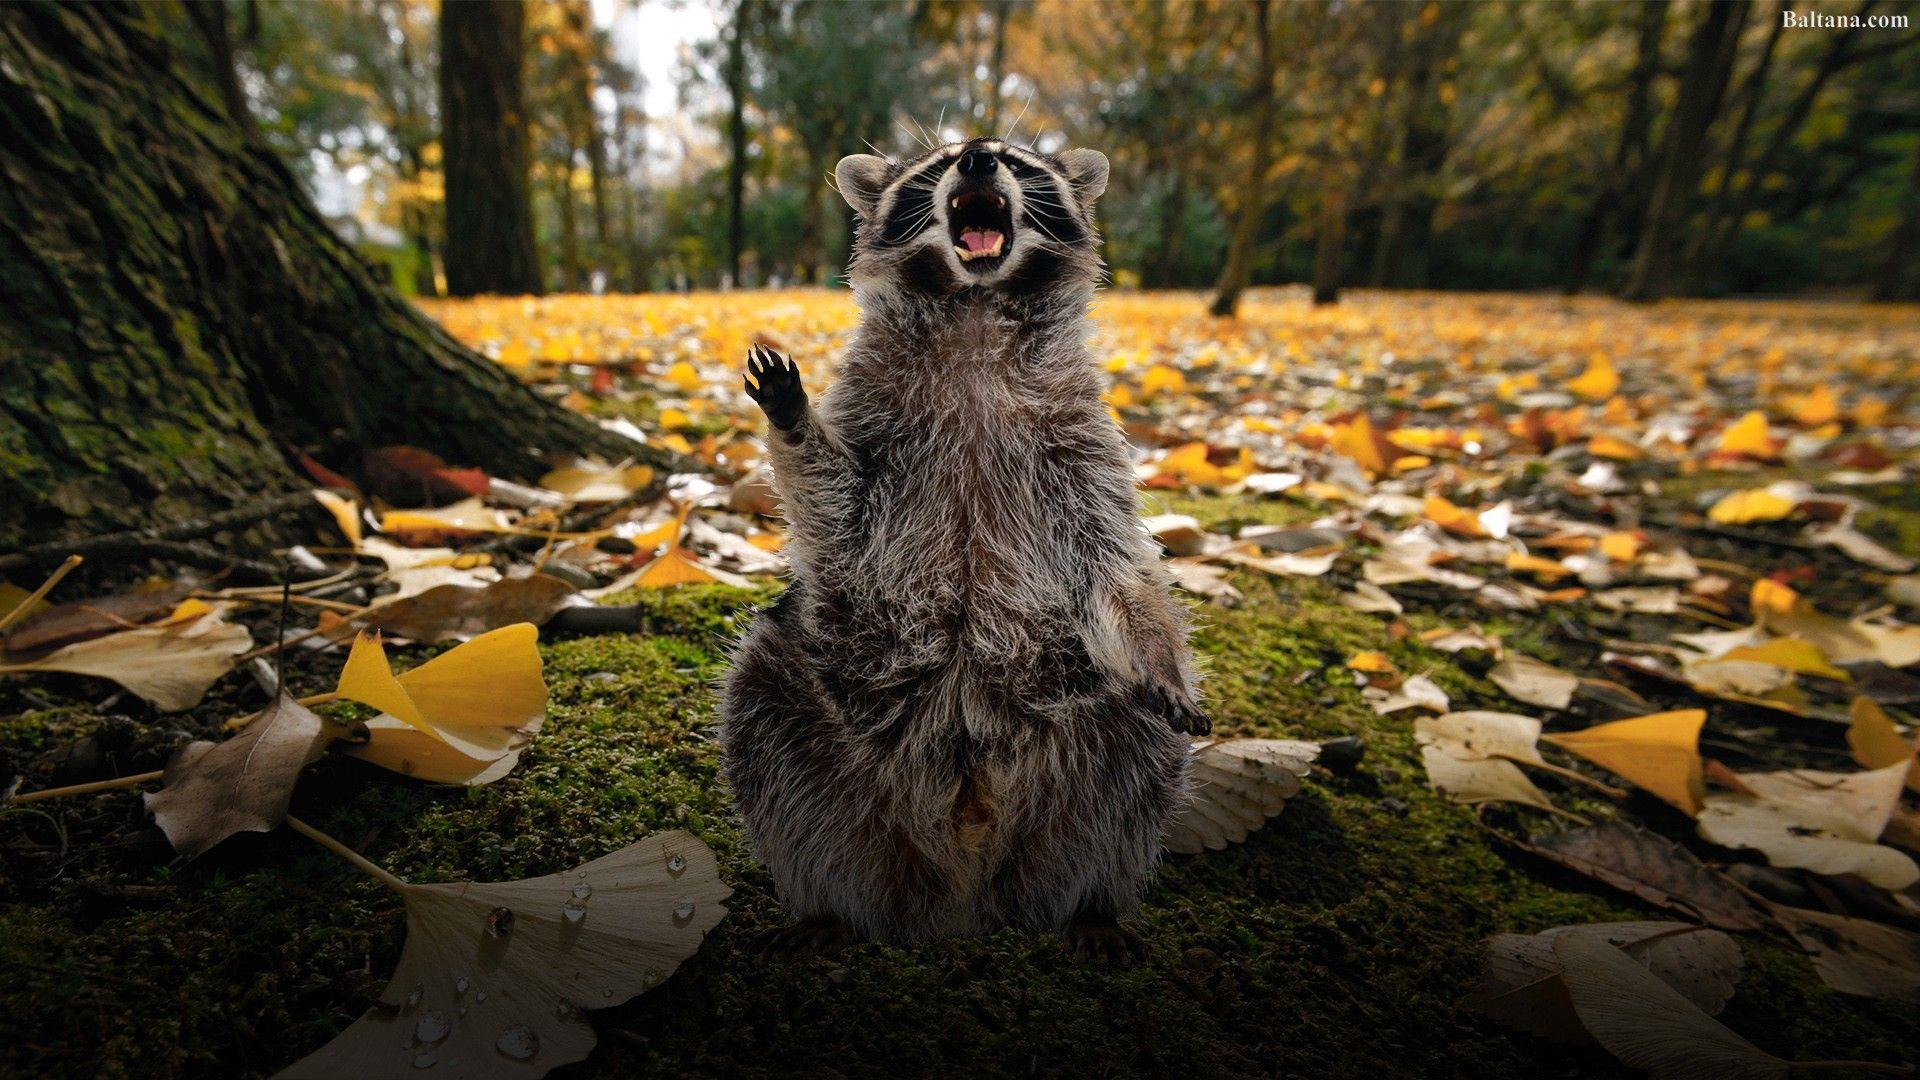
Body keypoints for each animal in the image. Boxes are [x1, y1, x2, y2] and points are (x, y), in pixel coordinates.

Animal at [719, 137, 1204, 964]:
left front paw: (1159, 650)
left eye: (1022, 161)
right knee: (760, 703)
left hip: (1083, 729)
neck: (975, 312)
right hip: (828, 732)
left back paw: (1095, 902)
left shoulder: (1080, 442)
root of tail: (963, 887)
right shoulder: (876, 419)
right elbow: (835, 510)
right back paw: (823, 904)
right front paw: (793, 421)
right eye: (934, 165)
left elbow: (1115, 563)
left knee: (1138, 749)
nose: (977, 158)